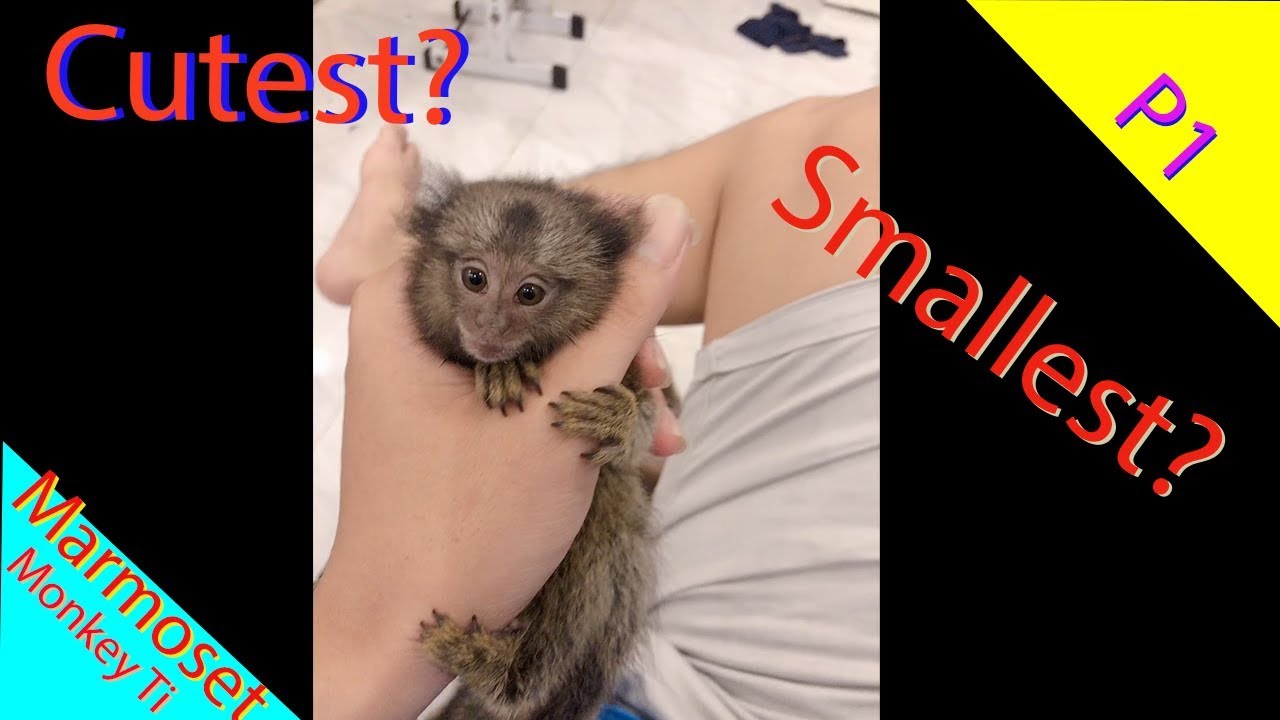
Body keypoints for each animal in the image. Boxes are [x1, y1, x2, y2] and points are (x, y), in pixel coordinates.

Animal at [401, 167, 677, 720]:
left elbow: (639, 438)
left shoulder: (635, 367)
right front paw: (500, 370)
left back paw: (503, 677)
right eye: (475, 279)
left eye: (529, 293)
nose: (489, 327)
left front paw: (620, 421)